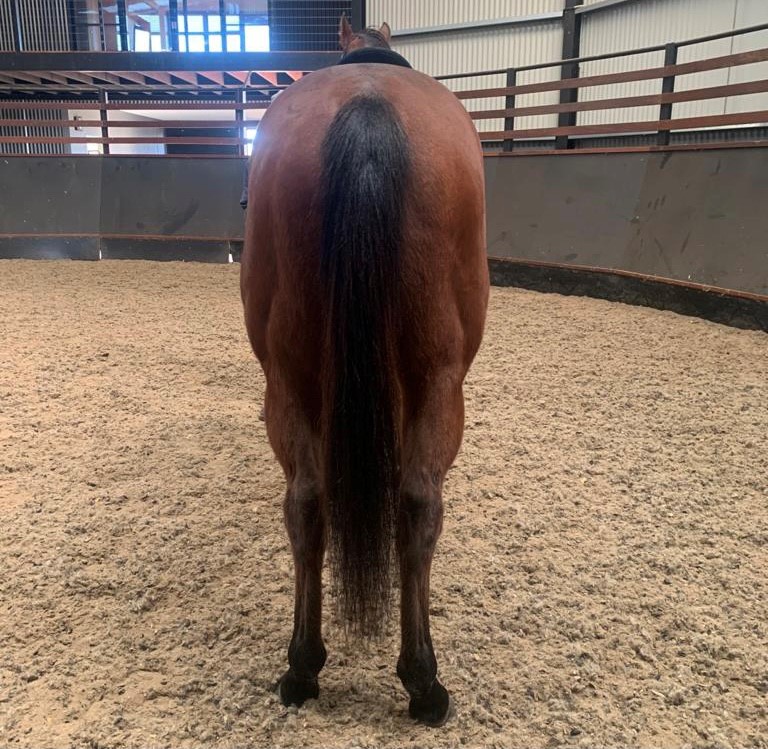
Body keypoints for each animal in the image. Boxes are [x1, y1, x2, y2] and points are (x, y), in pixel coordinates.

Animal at [240, 17, 489, 726]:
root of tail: (370, 107)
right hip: (439, 378)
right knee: (418, 504)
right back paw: (422, 682)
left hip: (293, 375)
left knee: (309, 502)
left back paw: (304, 669)